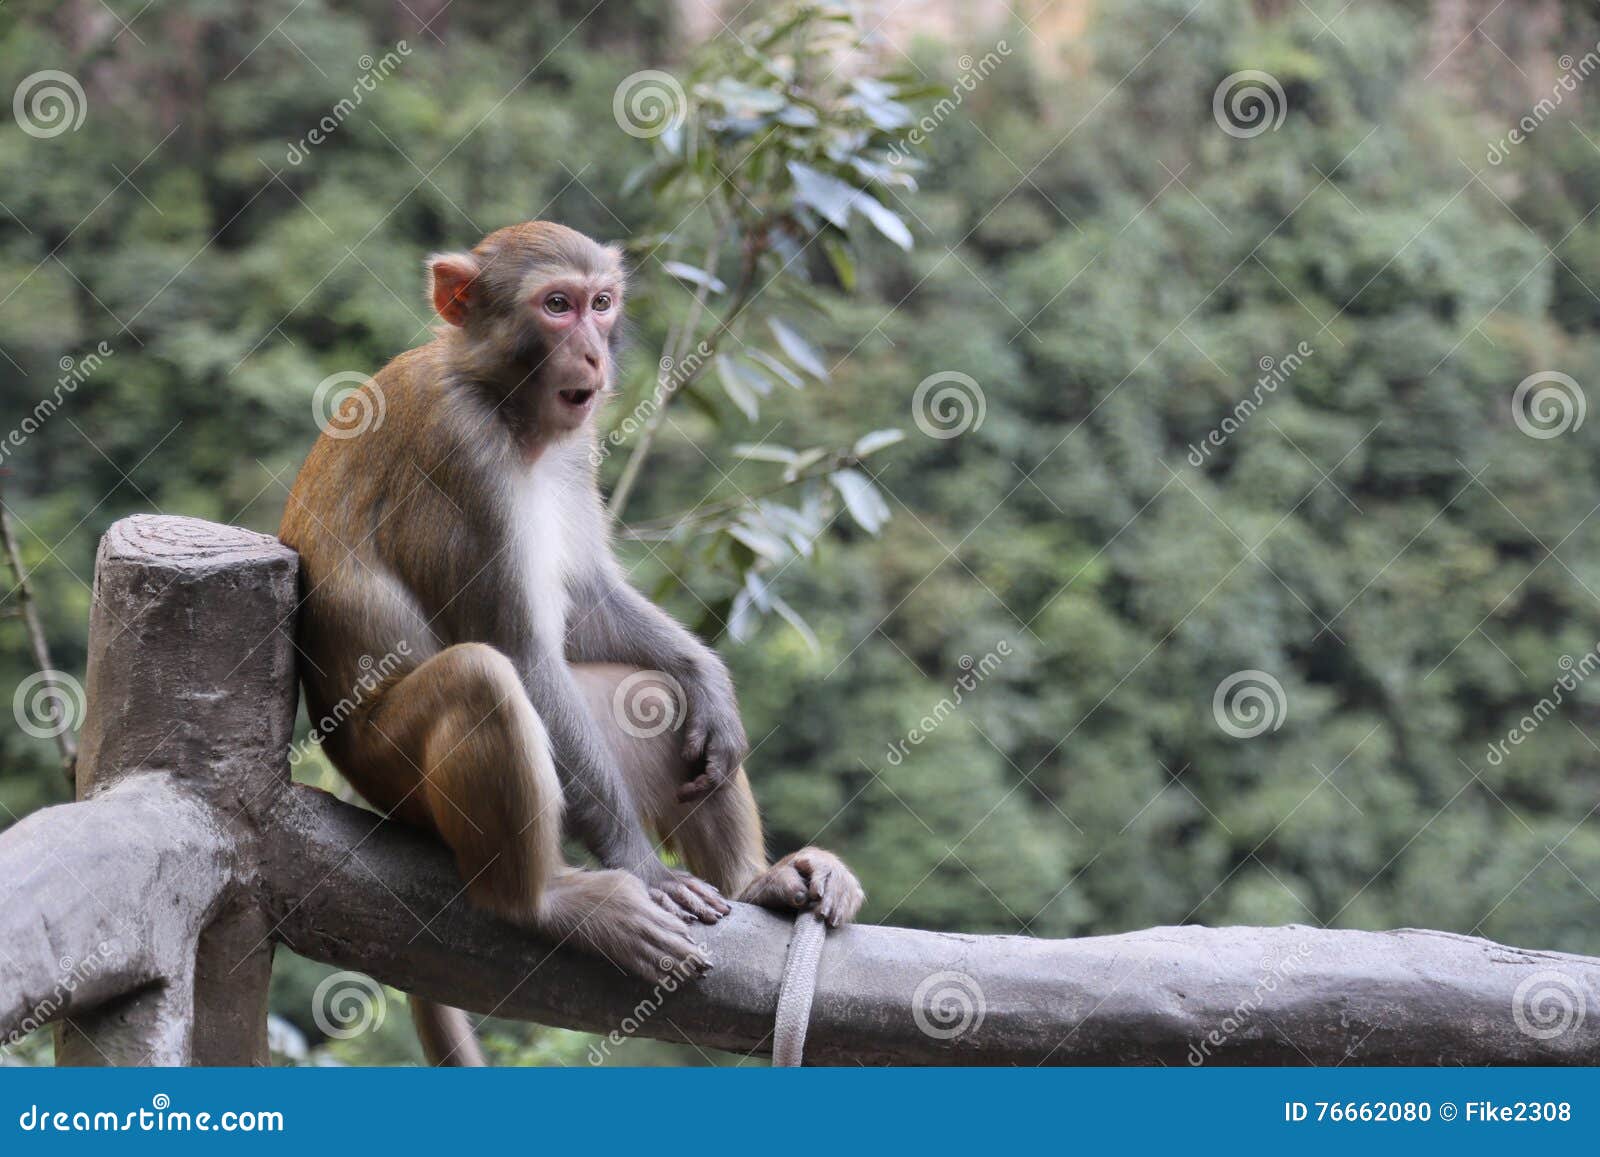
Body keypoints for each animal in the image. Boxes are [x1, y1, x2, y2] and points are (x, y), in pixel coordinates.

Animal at [278, 220, 864, 1065]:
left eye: (601, 302)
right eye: (556, 306)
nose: (592, 353)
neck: (502, 400)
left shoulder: (574, 447)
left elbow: (586, 602)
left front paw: (710, 680)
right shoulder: (464, 452)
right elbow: (519, 649)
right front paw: (643, 869)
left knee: (650, 695)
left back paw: (759, 882)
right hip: (397, 776)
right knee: (483, 678)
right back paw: (544, 901)